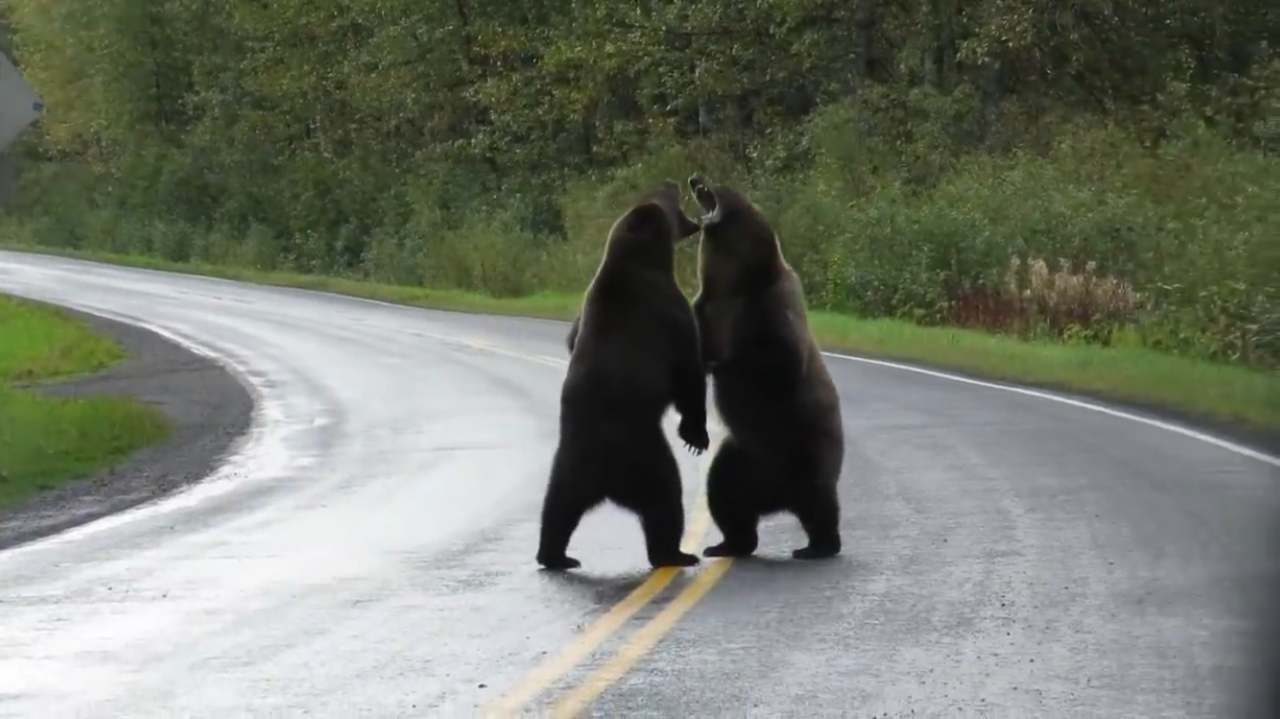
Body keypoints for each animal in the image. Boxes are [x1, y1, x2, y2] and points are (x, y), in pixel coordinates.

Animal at [536, 180, 712, 571]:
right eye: (665, 196)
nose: (674, 182)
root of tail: (603, 481)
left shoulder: (586, 310)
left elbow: (572, 336)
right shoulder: (668, 310)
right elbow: (688, 371)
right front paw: (696, 435)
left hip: (566, 466)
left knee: (556, 508)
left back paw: (556, 555)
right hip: (645, 456)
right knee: (665, 498)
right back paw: (675, 553)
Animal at [686, 174, 845, 560]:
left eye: (722, 184)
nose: (695, 177)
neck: (734, 283)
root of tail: (778, 499)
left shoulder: (770, 307)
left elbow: (774, 362)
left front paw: (721, 363)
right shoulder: (707, 307)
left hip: (807, 446)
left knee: (819, 499)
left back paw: (819, 545)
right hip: (744, 458)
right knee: (725, 494)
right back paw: (727, 543)